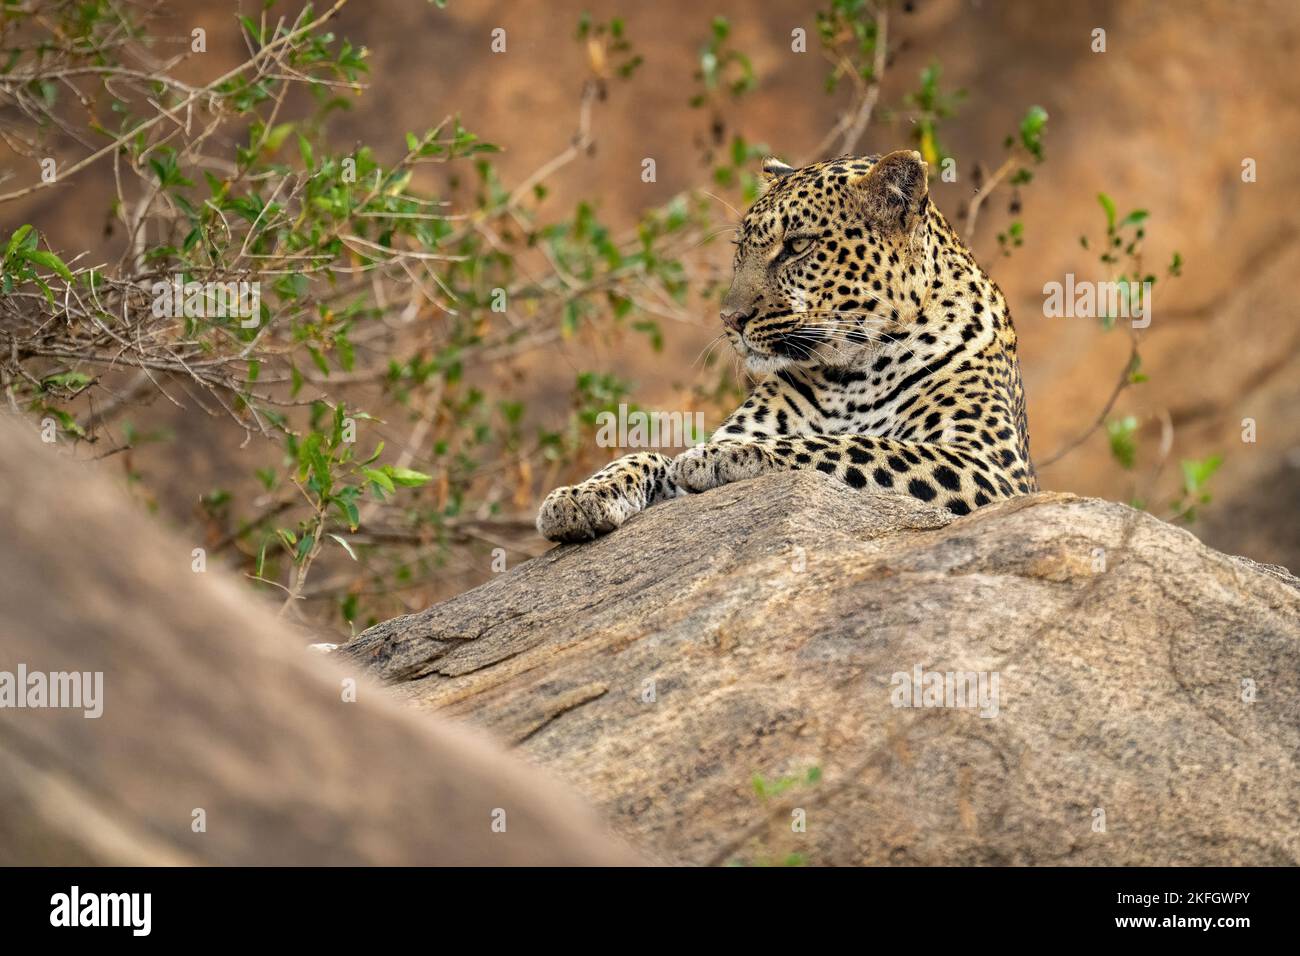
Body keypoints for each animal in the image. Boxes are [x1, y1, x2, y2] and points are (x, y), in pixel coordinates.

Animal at [536, 149, 1037, 543]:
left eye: (797, 246)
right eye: (741, 247)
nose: (729, 318)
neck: (849, 374)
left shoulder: (993, 467)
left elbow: (850, 445)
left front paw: (725, 456)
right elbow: (650, 456)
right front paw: (578, 496)